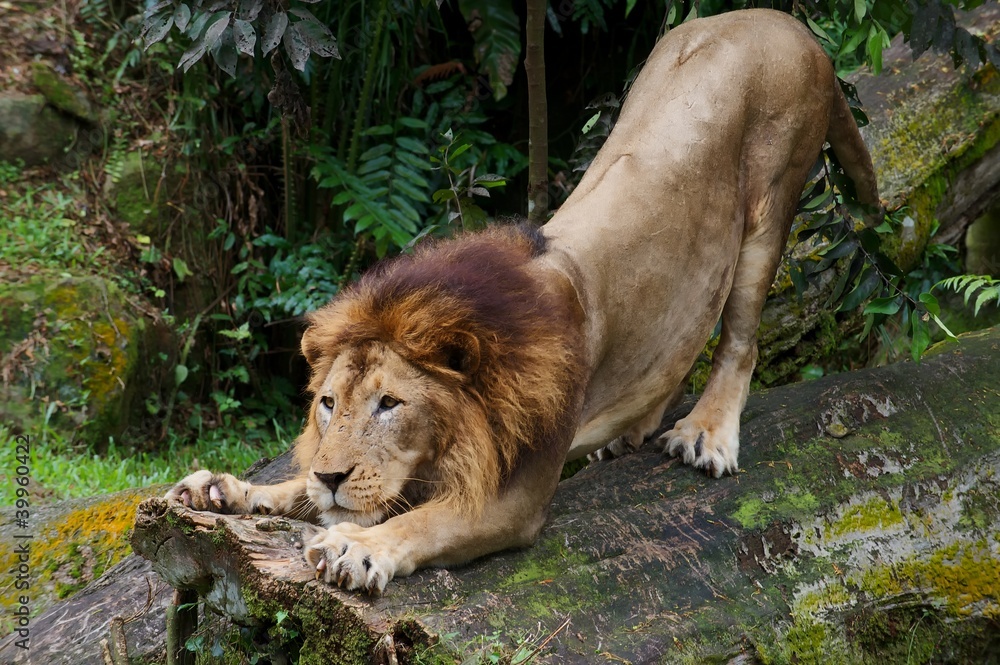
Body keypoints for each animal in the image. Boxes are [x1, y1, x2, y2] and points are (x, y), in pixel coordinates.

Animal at [166, 9, 879, 592]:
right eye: (327, 404)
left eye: (390, 404)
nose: (332, 477)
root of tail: (786, 22)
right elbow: (296, 489)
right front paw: (228, 489)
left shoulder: (516, 496)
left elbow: (422, 523)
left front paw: (354, 546)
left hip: (771, 203)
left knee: (740, 338)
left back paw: (706, 435)